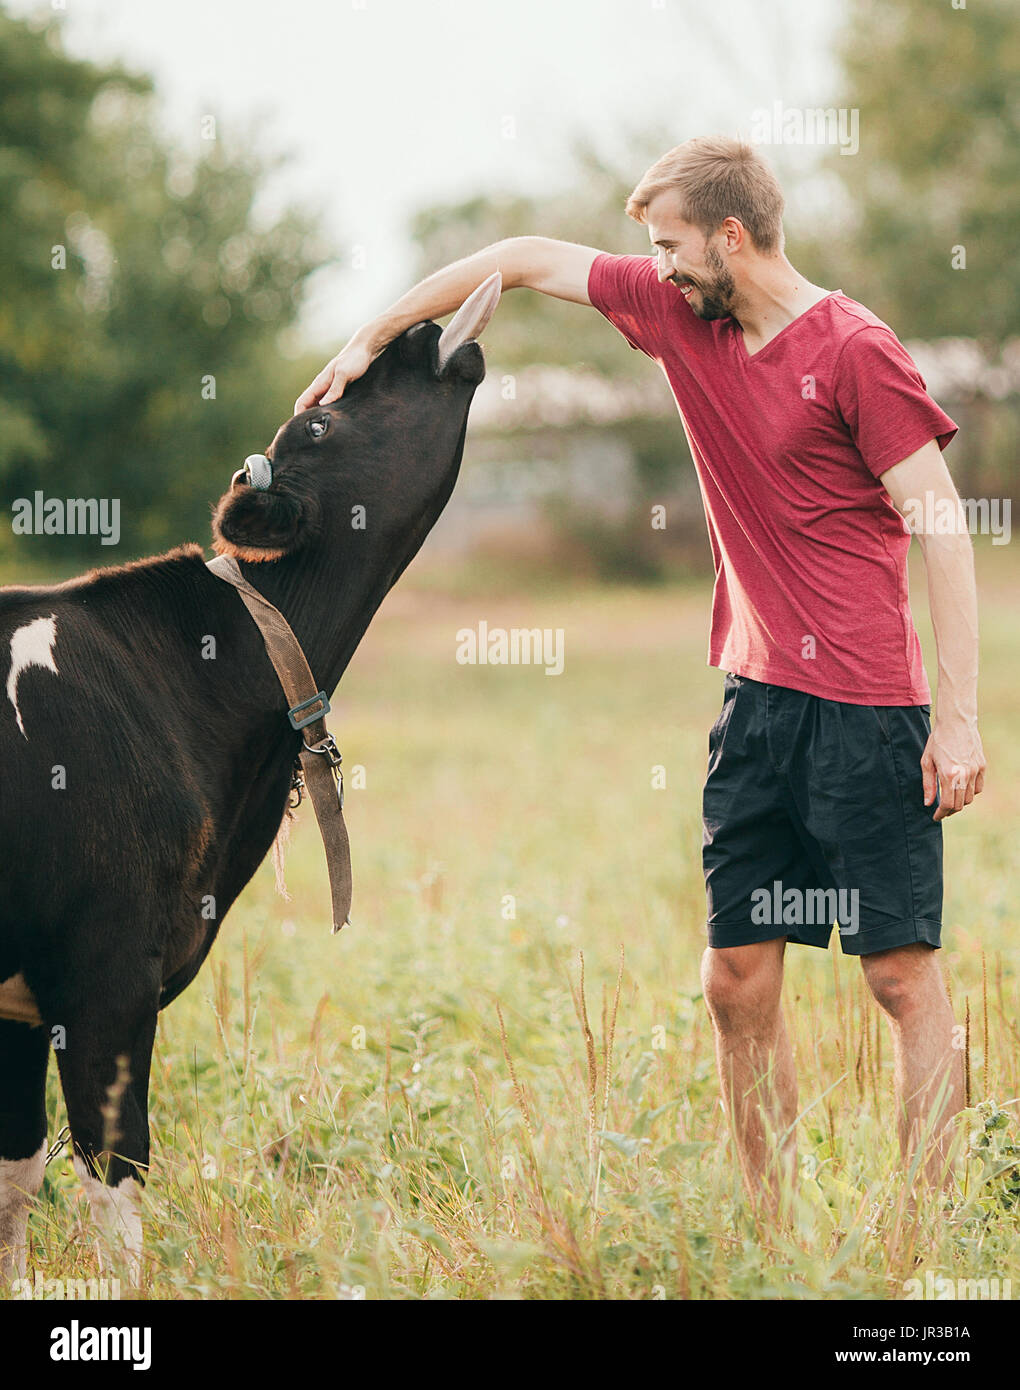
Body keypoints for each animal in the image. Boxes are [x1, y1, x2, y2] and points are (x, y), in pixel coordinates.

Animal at [0, 275, 501, 1284]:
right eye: (317, 423)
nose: (422, 330)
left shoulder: (21, 1005)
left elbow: (14, 1175)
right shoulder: (104, 970)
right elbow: (112, 1174)